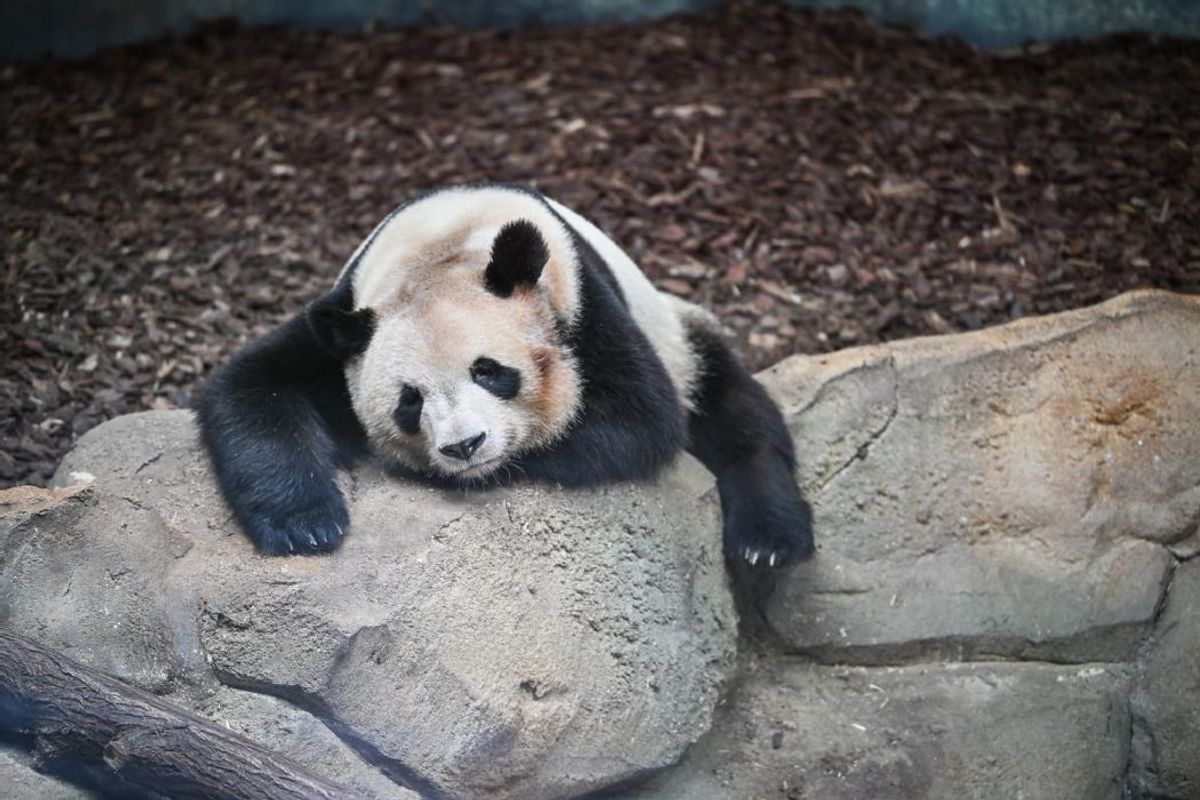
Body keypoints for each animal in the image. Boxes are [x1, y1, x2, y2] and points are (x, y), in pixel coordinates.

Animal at [196, 184, 814, 568]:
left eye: (490, 371)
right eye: (409, 401)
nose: (464, 446)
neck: (445, 242)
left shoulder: (582, 305)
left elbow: (638, 418)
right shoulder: (344, 320)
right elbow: (254, 384)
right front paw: (305, 524)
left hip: (682, 335)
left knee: (737, 415)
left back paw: (768, 540)